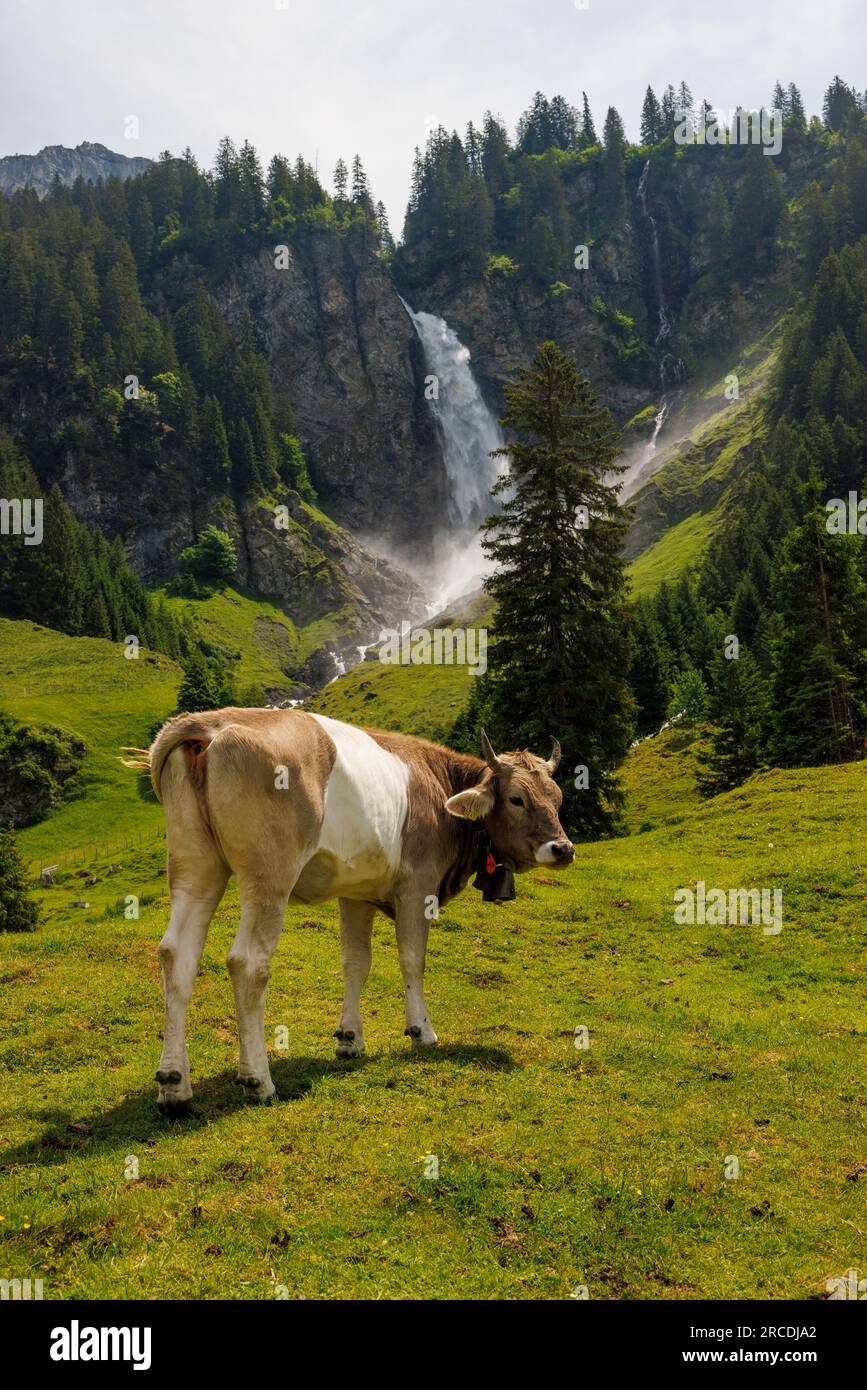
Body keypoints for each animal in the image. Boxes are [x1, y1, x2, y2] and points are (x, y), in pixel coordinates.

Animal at [133, 708, 574, 1113]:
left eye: (557, 799)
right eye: (517, 799)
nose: (563, 848)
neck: (438, 785)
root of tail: (211, 723)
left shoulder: (356, 893)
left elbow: (355, 962)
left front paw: (349, 1038)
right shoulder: (417, 886)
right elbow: (412, 959)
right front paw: (421, 1031)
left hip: (195, 865)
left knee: (176, 954)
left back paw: (174, 1083)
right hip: (269, 876)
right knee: (247, 962)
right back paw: (257, 1079)